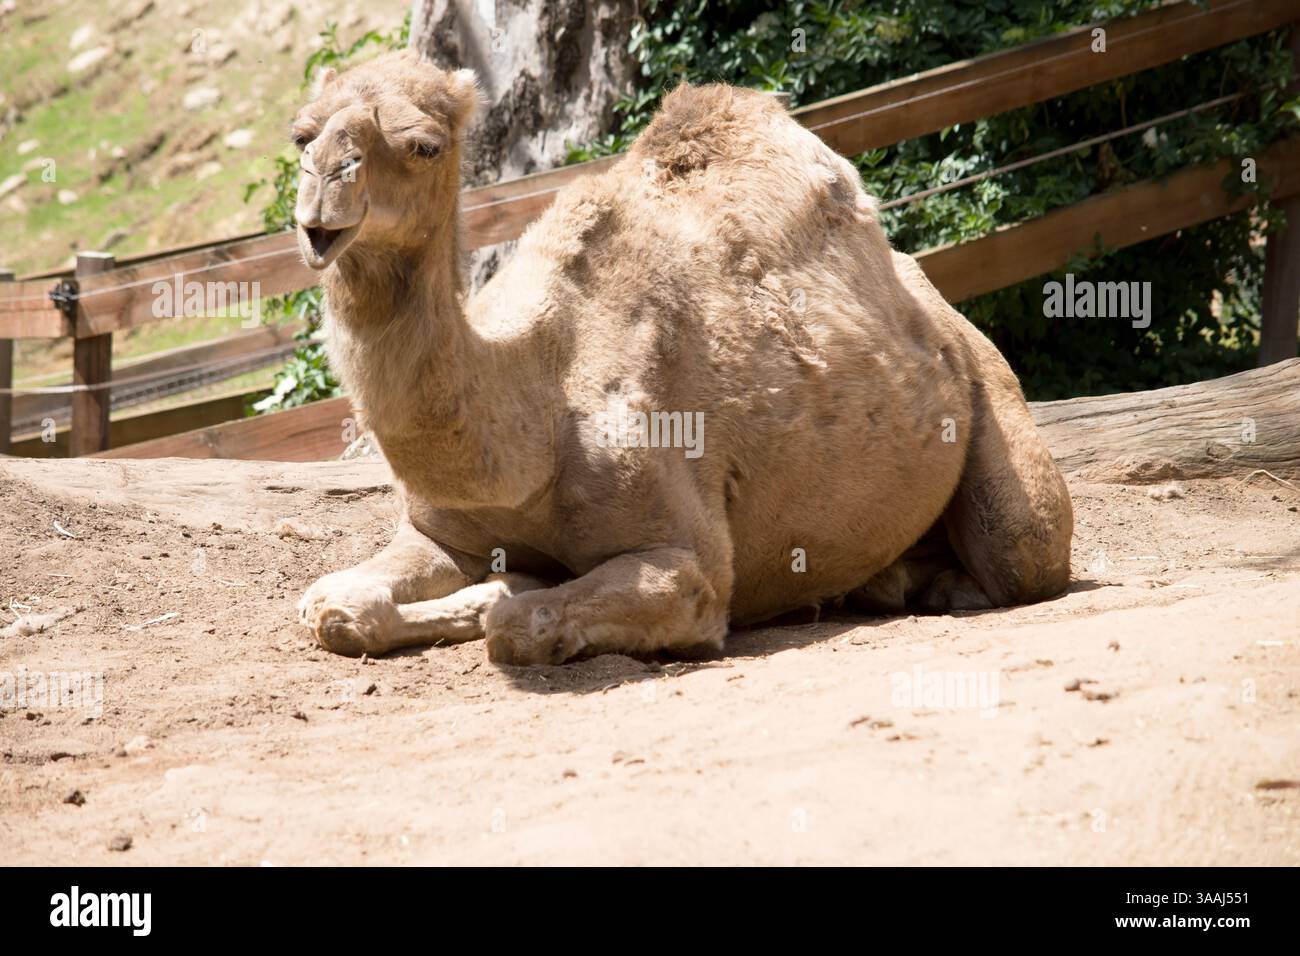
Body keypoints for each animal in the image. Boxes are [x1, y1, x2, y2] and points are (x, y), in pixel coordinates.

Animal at [291, 50, 1074, 665]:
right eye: (302, 132)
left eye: (424, 145)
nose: (323, 181)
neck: (534, 409)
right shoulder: (438, 532)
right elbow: (331, 603)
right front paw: (487, 587)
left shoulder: (689, 563)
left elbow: (516, 621)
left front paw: (507, 595)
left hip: (991, 401)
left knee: (1025, 548)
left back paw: (927, 584)